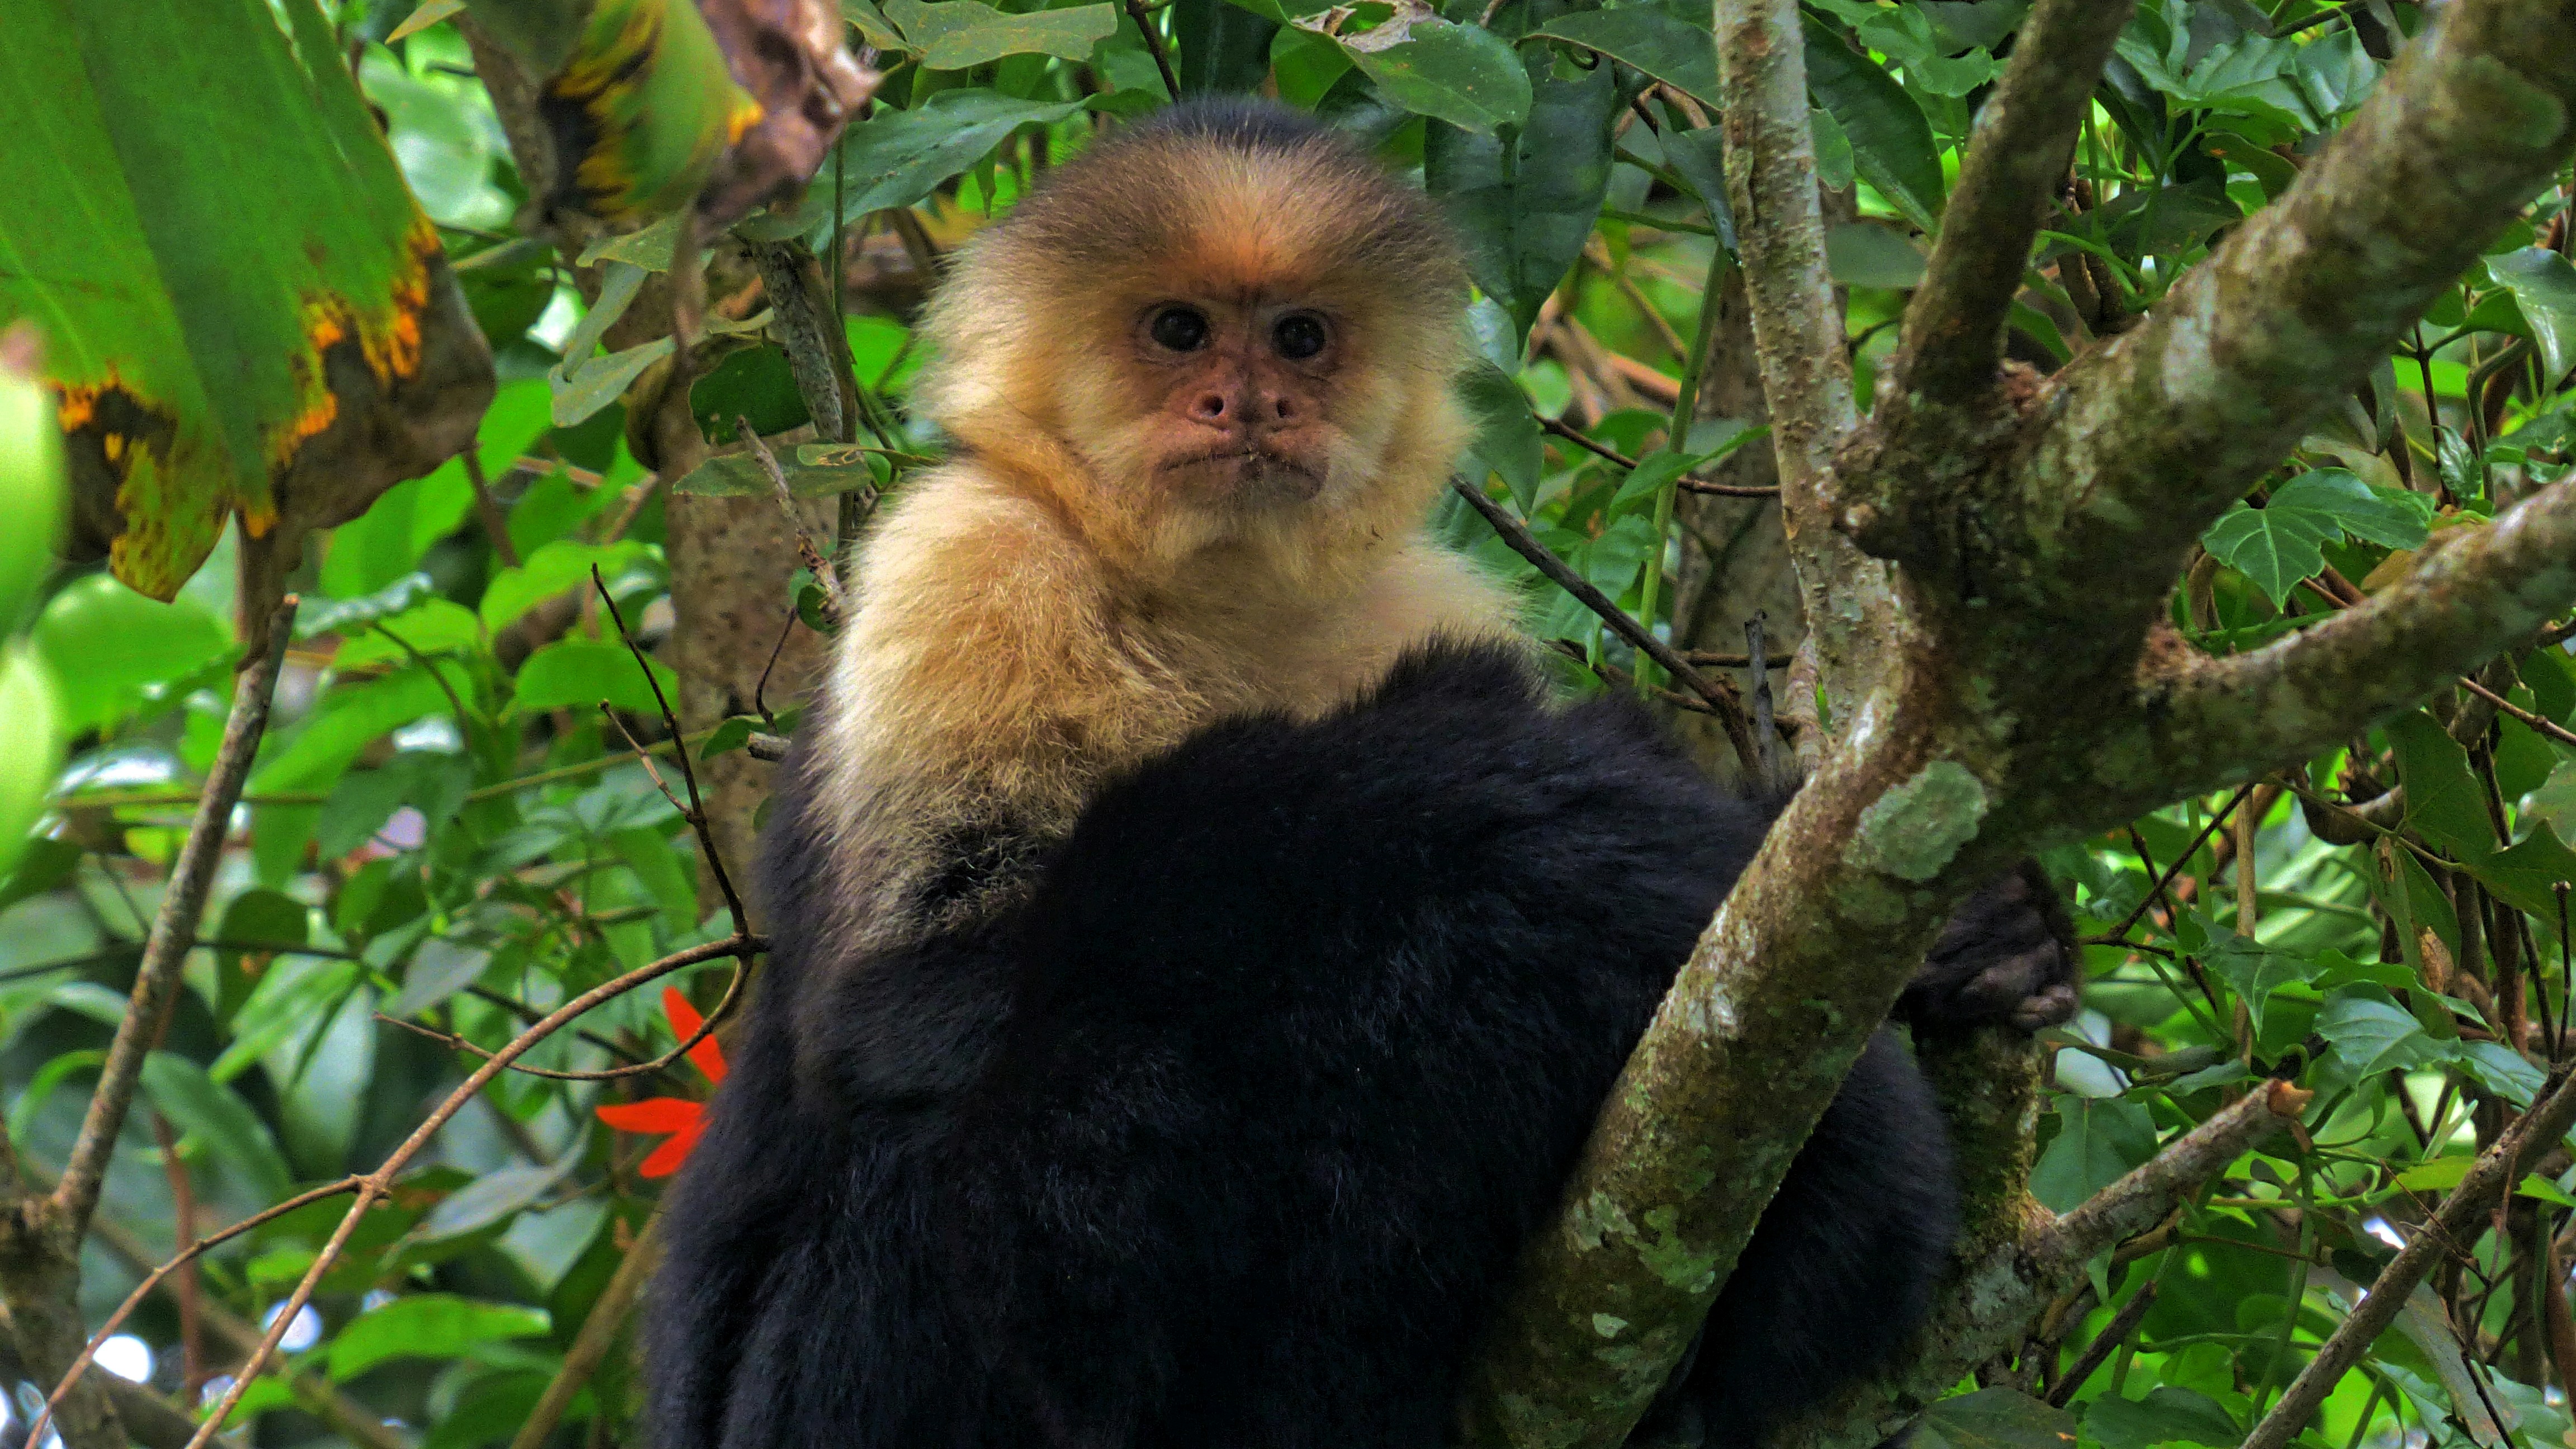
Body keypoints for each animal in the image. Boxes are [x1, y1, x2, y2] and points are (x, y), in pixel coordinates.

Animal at [648, 98, 2078, 1449]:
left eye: (1299, 340)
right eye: (1178, 331)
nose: (1251, 404)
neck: (1212, 602)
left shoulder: (1421, 596)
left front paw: (1978, 936)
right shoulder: (964, 569)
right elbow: (901, 1007)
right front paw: (1430, 791)